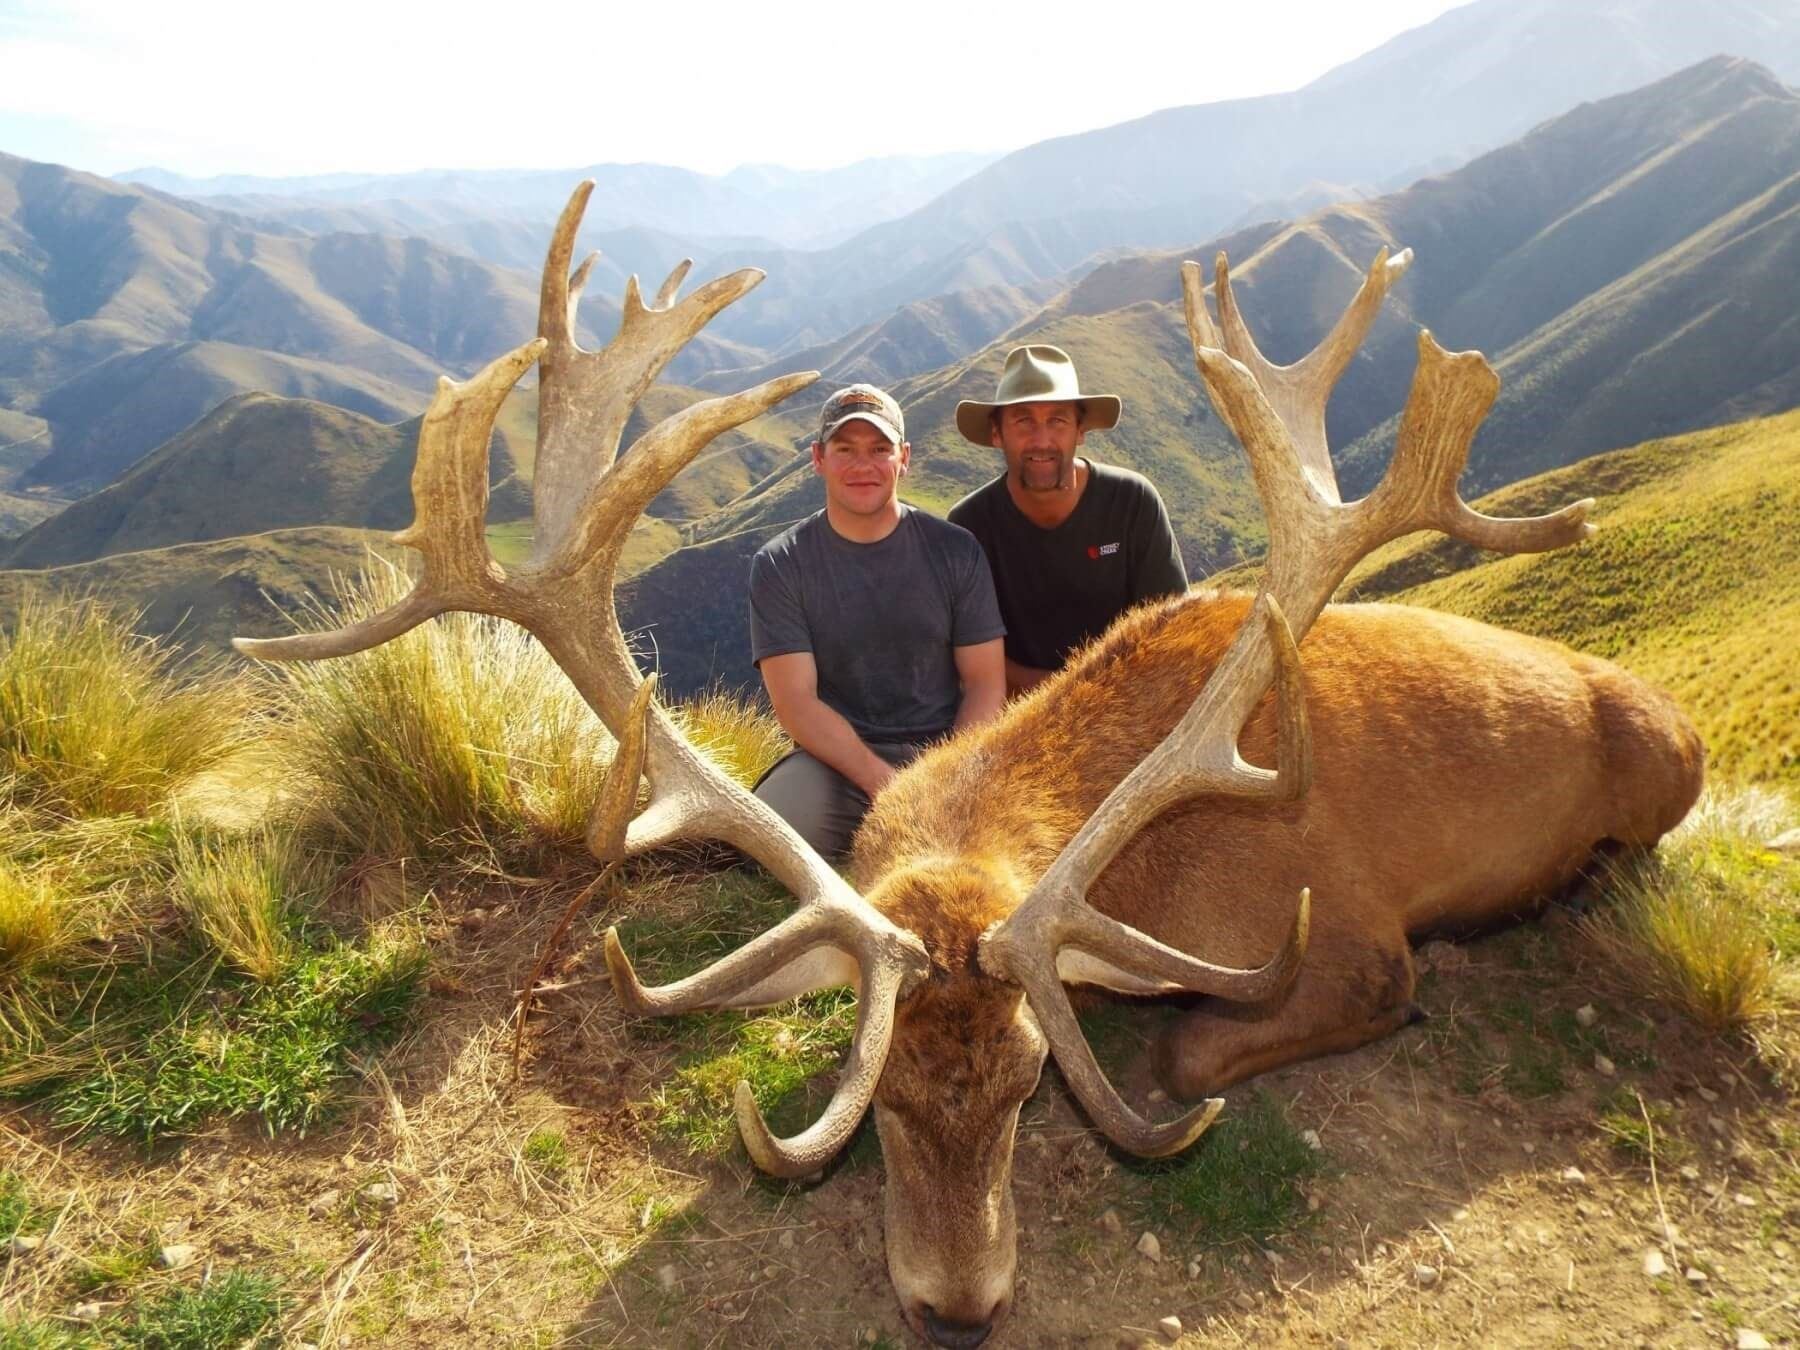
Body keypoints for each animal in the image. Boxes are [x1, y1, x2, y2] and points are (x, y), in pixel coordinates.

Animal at [235, 182, 1705, 1348]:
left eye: (1028, 1081)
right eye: (874, 1089)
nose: (957, 1310)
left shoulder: (1348, 936)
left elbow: (1195, 1051)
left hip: (1658, 765)